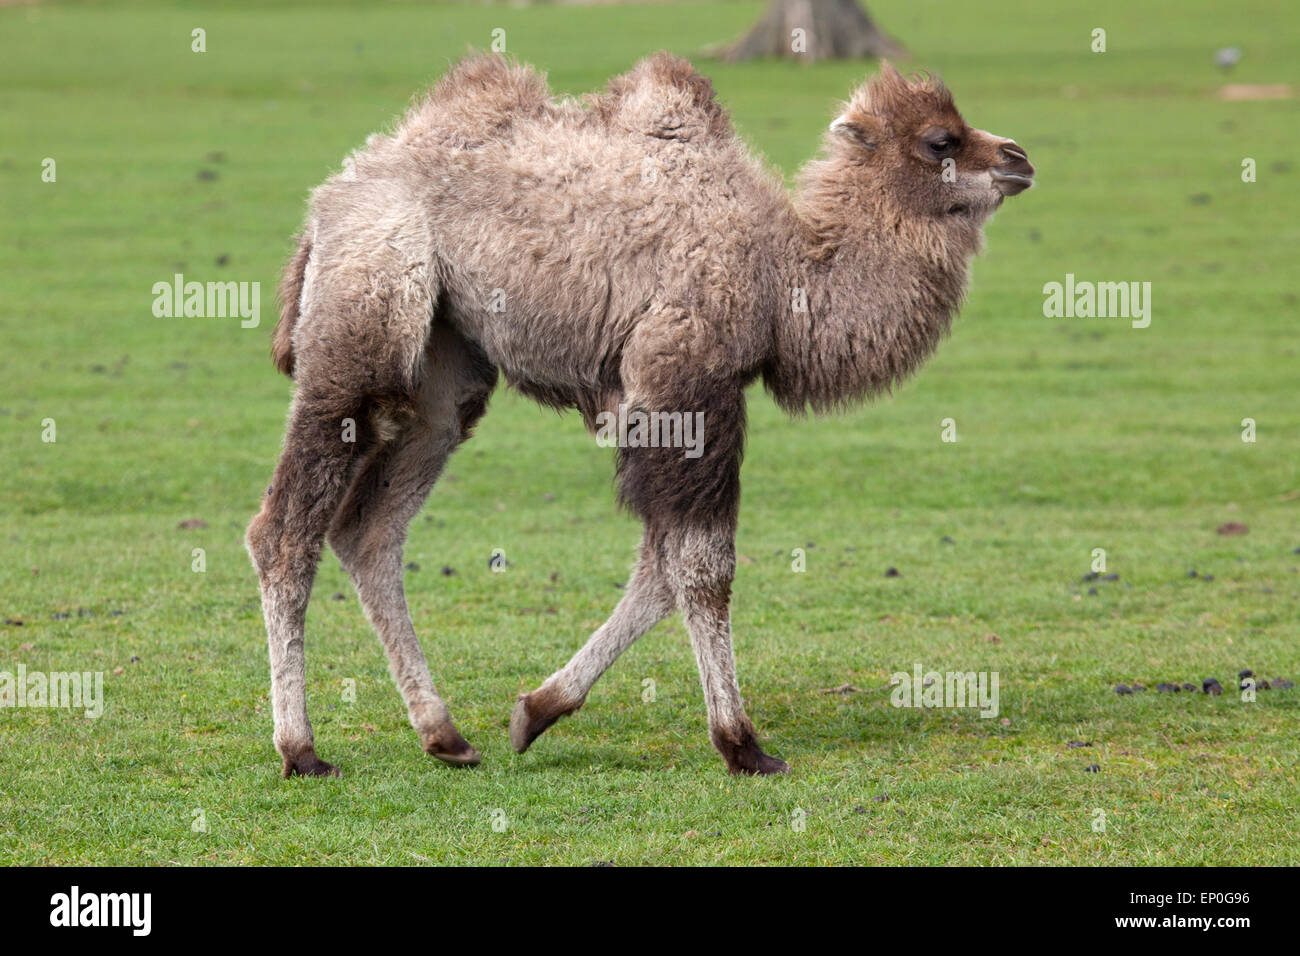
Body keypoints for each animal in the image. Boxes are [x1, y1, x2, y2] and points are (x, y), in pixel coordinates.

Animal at [246, 52, 1034, 778]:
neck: (783, 273)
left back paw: (445, 736)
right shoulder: (687, 378)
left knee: (371, 528)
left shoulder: (658, 402)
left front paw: (537, 710)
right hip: (364, 321)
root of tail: (328, 201)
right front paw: (743, 745)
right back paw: (301, 750)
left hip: (446, 367)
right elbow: (703, 566)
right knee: (284, 528)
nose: (1019, 158)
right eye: (940, 140)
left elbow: (659, 566)